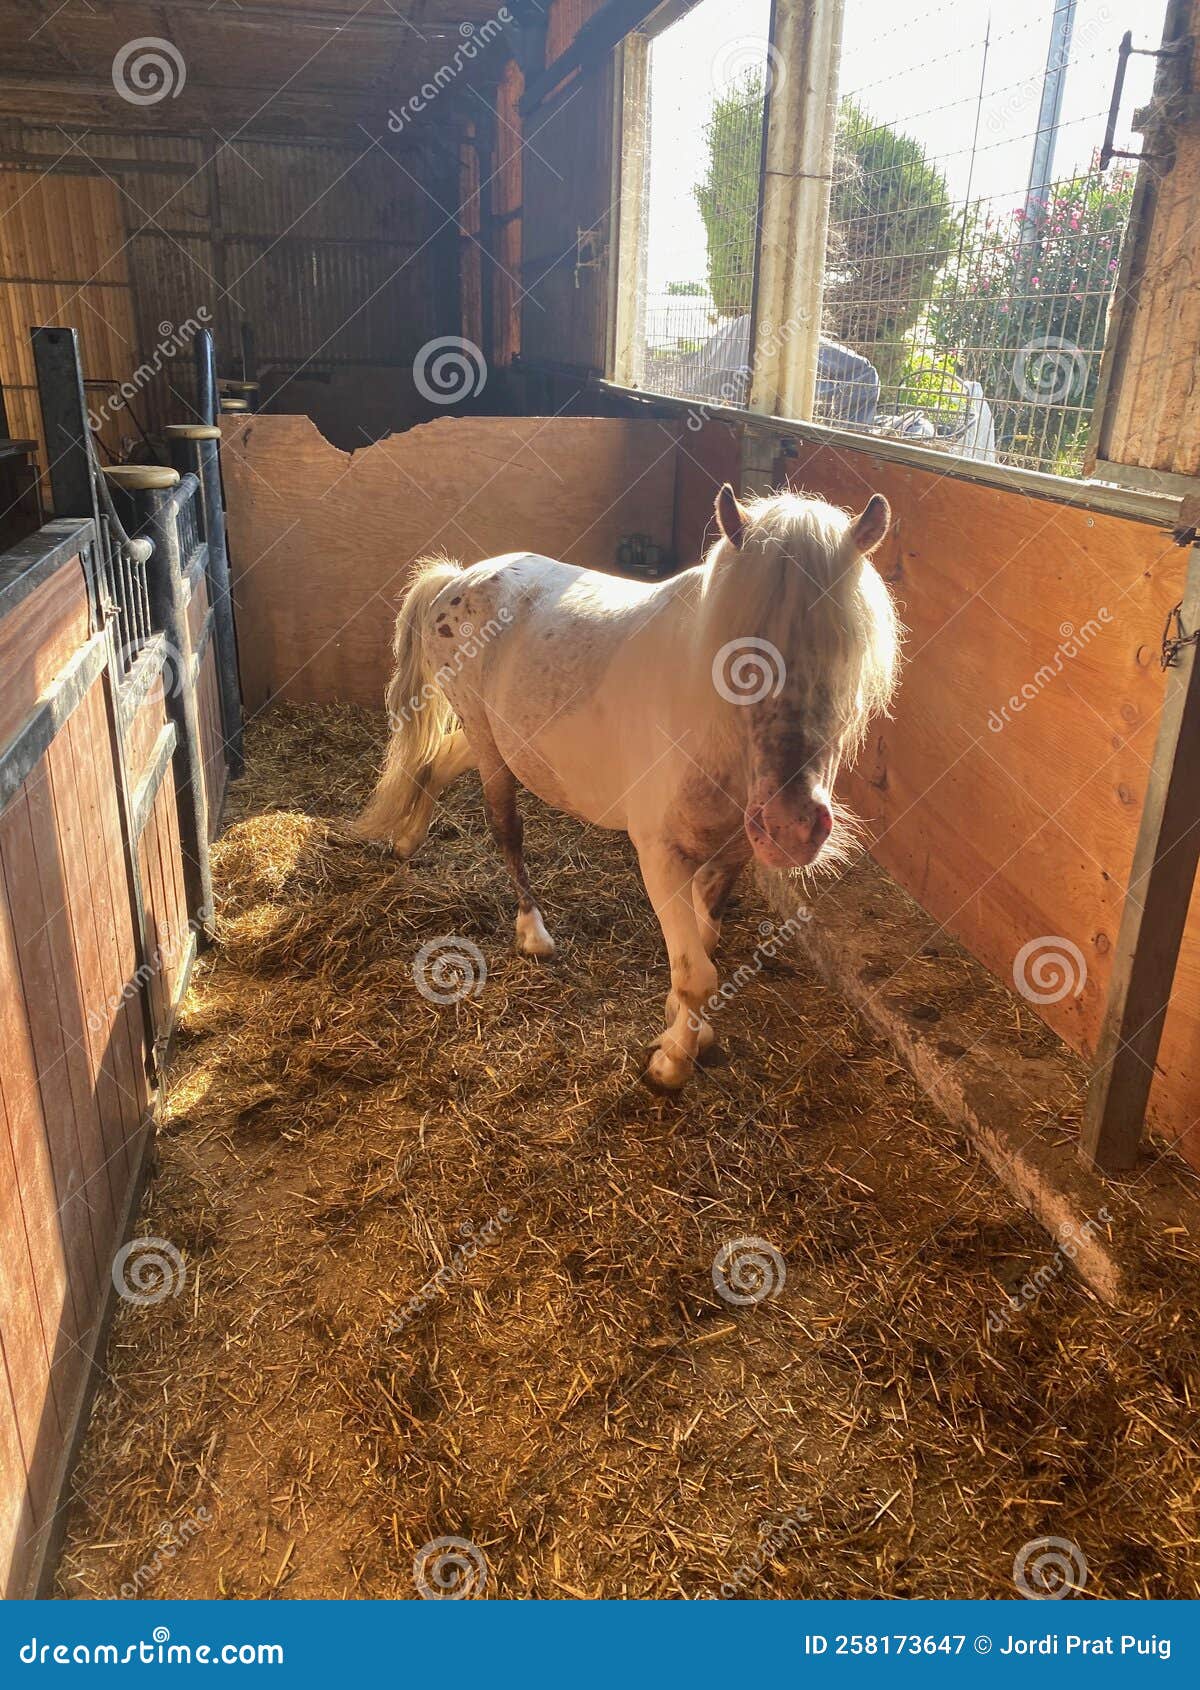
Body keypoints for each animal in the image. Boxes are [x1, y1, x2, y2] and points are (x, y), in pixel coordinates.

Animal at [356, 482, 901, 1090]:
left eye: (850, 653)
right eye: (741, 663)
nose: (791, 827)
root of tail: (459, 579)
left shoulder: (732, 854)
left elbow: (703, 945)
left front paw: (684, 1030)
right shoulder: (660, 855)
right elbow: (695, 974)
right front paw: (672, 1063)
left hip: (497, 741)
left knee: (436, 765)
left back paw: (406, 840)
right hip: (486, 739)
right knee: (505, 830)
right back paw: (533, 933)